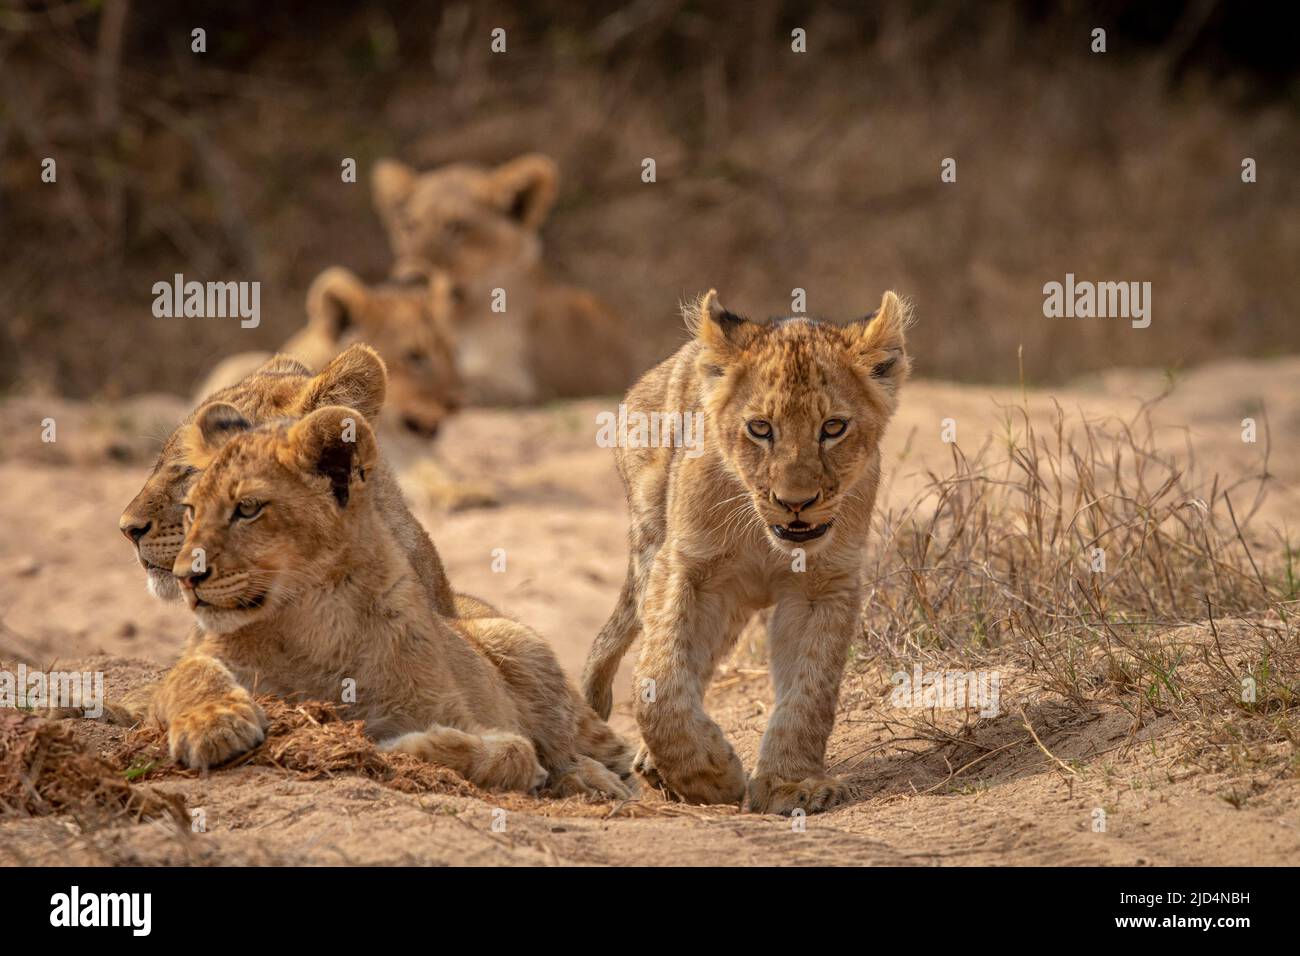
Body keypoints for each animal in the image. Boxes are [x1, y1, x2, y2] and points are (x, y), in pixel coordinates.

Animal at [155, 401, 632, 797]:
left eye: (249, 508)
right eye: (191, 510)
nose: (184, 578)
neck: (312, 621)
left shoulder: (460, 713)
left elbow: (517, 751)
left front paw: (403, 748)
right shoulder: (197, 667)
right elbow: (188, 672)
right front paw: (213, 725)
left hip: (516, 642)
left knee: (595, 750)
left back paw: (595, 779)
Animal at [371, 153, 633, 403]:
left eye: (457, 226)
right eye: (409, 226)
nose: (409, 278)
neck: (460, 317)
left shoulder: (523, 381)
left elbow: (465, 381)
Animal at [579, 289, 911, 815]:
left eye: (833, 427)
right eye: (760, 428)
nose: (796, 502)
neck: (764, 537)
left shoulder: (824, 585)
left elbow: (810, 692)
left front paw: (792, 786)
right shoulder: (688, 567)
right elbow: (660, 681)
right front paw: (711, 776)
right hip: (651, 535)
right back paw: (658, 764)